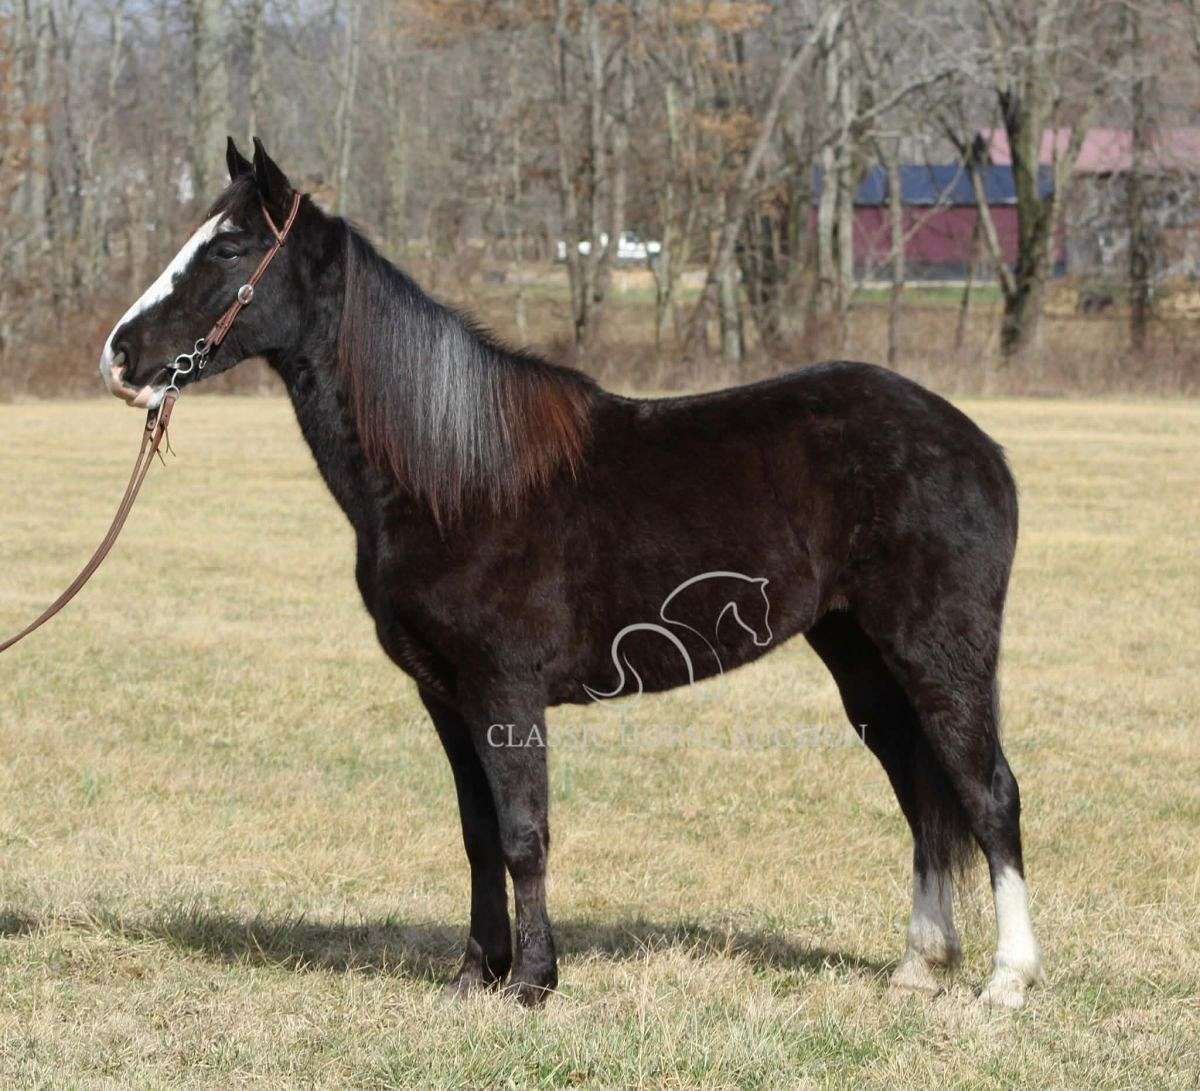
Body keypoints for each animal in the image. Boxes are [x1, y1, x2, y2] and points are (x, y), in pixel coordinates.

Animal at [97, 138, 1042, 1009]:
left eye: (226, 247)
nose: (119, 357)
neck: (453, 476)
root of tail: (979, 445)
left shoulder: (505, 689)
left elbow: (524, 833)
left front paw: (533, 981)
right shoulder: (445, 695)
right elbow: (479, 834)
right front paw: (475, 975)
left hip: (940, 653)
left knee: (989, 792)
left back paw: (1006, 981)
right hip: (862, 658)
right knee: (922, 795)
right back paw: (918, 967)